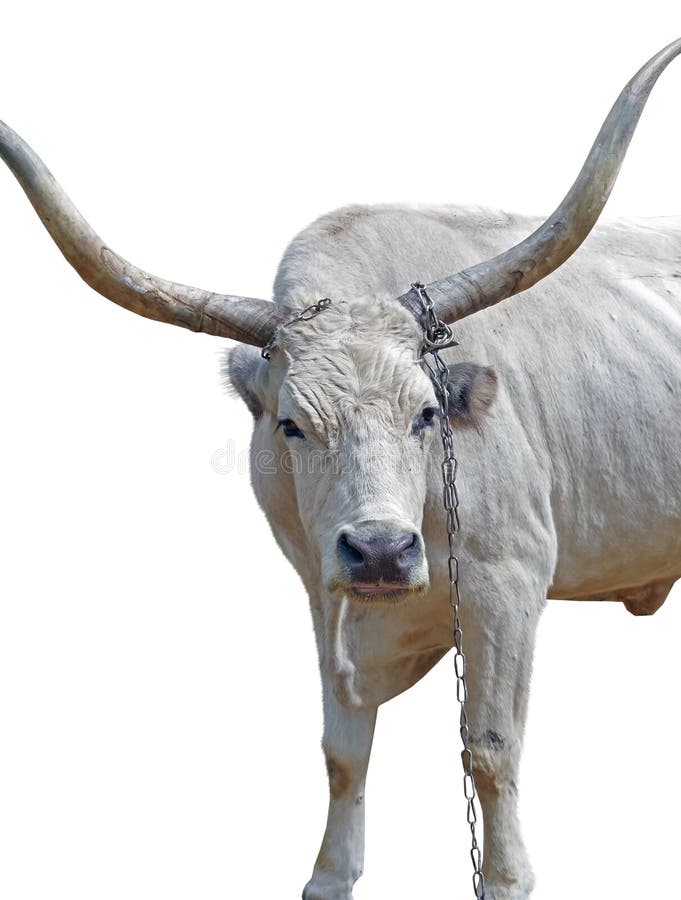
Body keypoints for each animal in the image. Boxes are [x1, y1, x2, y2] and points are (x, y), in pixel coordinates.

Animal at [1, 36, 680, 900]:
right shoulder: (322, 587)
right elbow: (341, 750)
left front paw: (503, 880)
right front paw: (329, 875)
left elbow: (489, 749)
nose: (382, 551)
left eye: (427, 413)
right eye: (290, 423)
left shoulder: (506, 579)